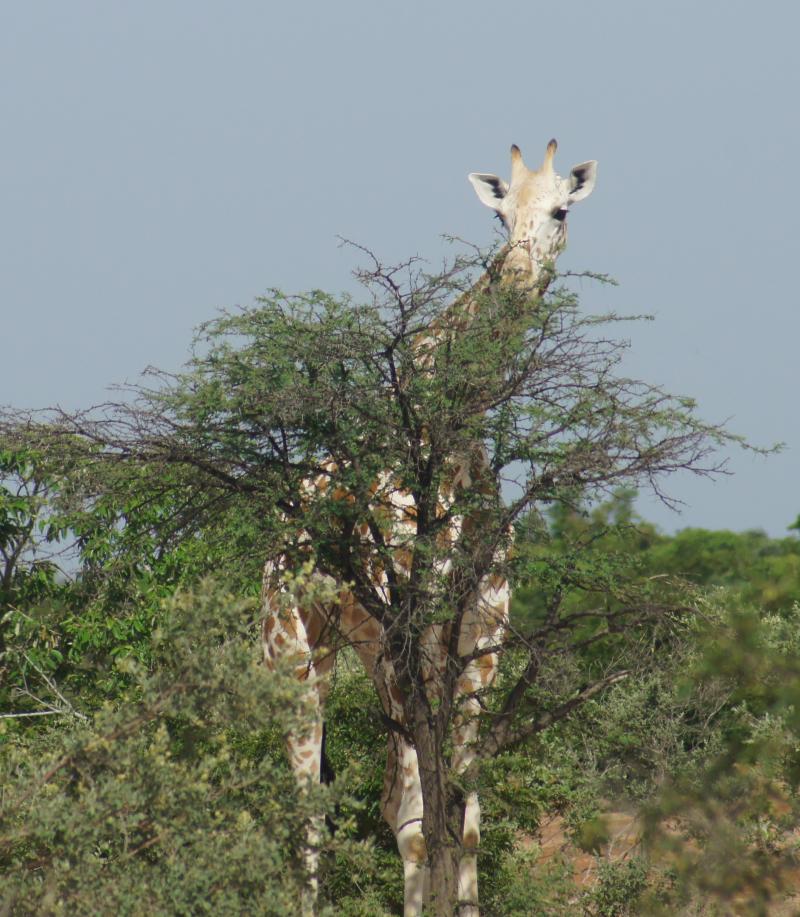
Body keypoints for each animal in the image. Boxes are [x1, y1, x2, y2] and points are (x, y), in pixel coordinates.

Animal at [261, 139, 597, 916]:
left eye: (560, 210)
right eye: (499, 217)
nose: (516, 276)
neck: (457, 425)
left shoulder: (482, 625)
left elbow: (463, 815)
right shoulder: (401, 617)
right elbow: (416, 814)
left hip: (345, 647)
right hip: (293, 650)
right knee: (313, 800)